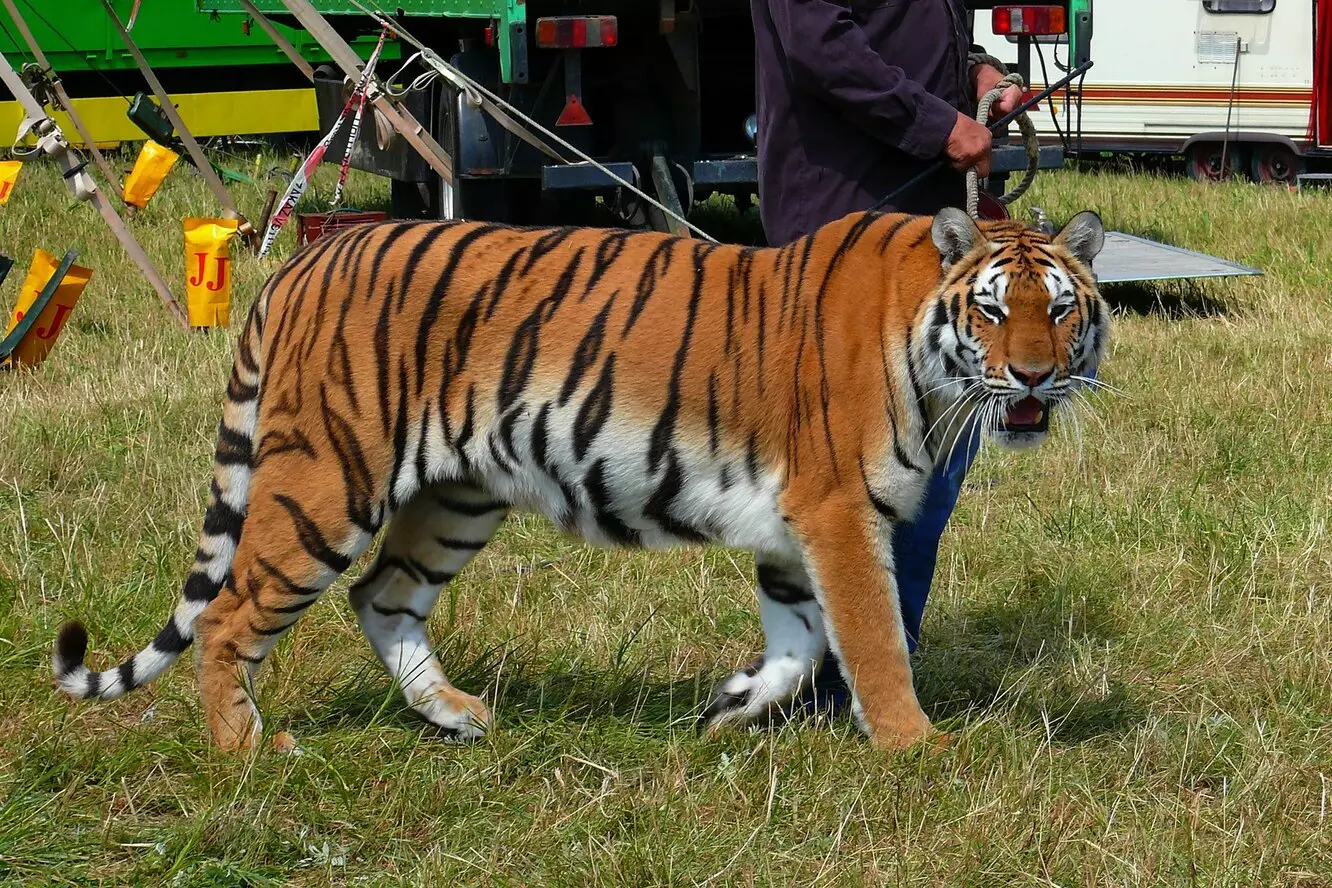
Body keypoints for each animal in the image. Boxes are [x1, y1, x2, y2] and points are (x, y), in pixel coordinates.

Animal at [51, 205, 1108, 756]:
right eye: (990, 311)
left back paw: (457, 717)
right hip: (327, 480)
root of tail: (307, 257)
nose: (1033, 377)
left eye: (1059, 310)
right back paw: (248, 754)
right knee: (230, 615)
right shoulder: (839, 511)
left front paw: (730, 707)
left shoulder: (793, 526)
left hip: (455, 498)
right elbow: (874, 638)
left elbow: (800, 642)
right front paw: (915, 747)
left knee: (382, 595)